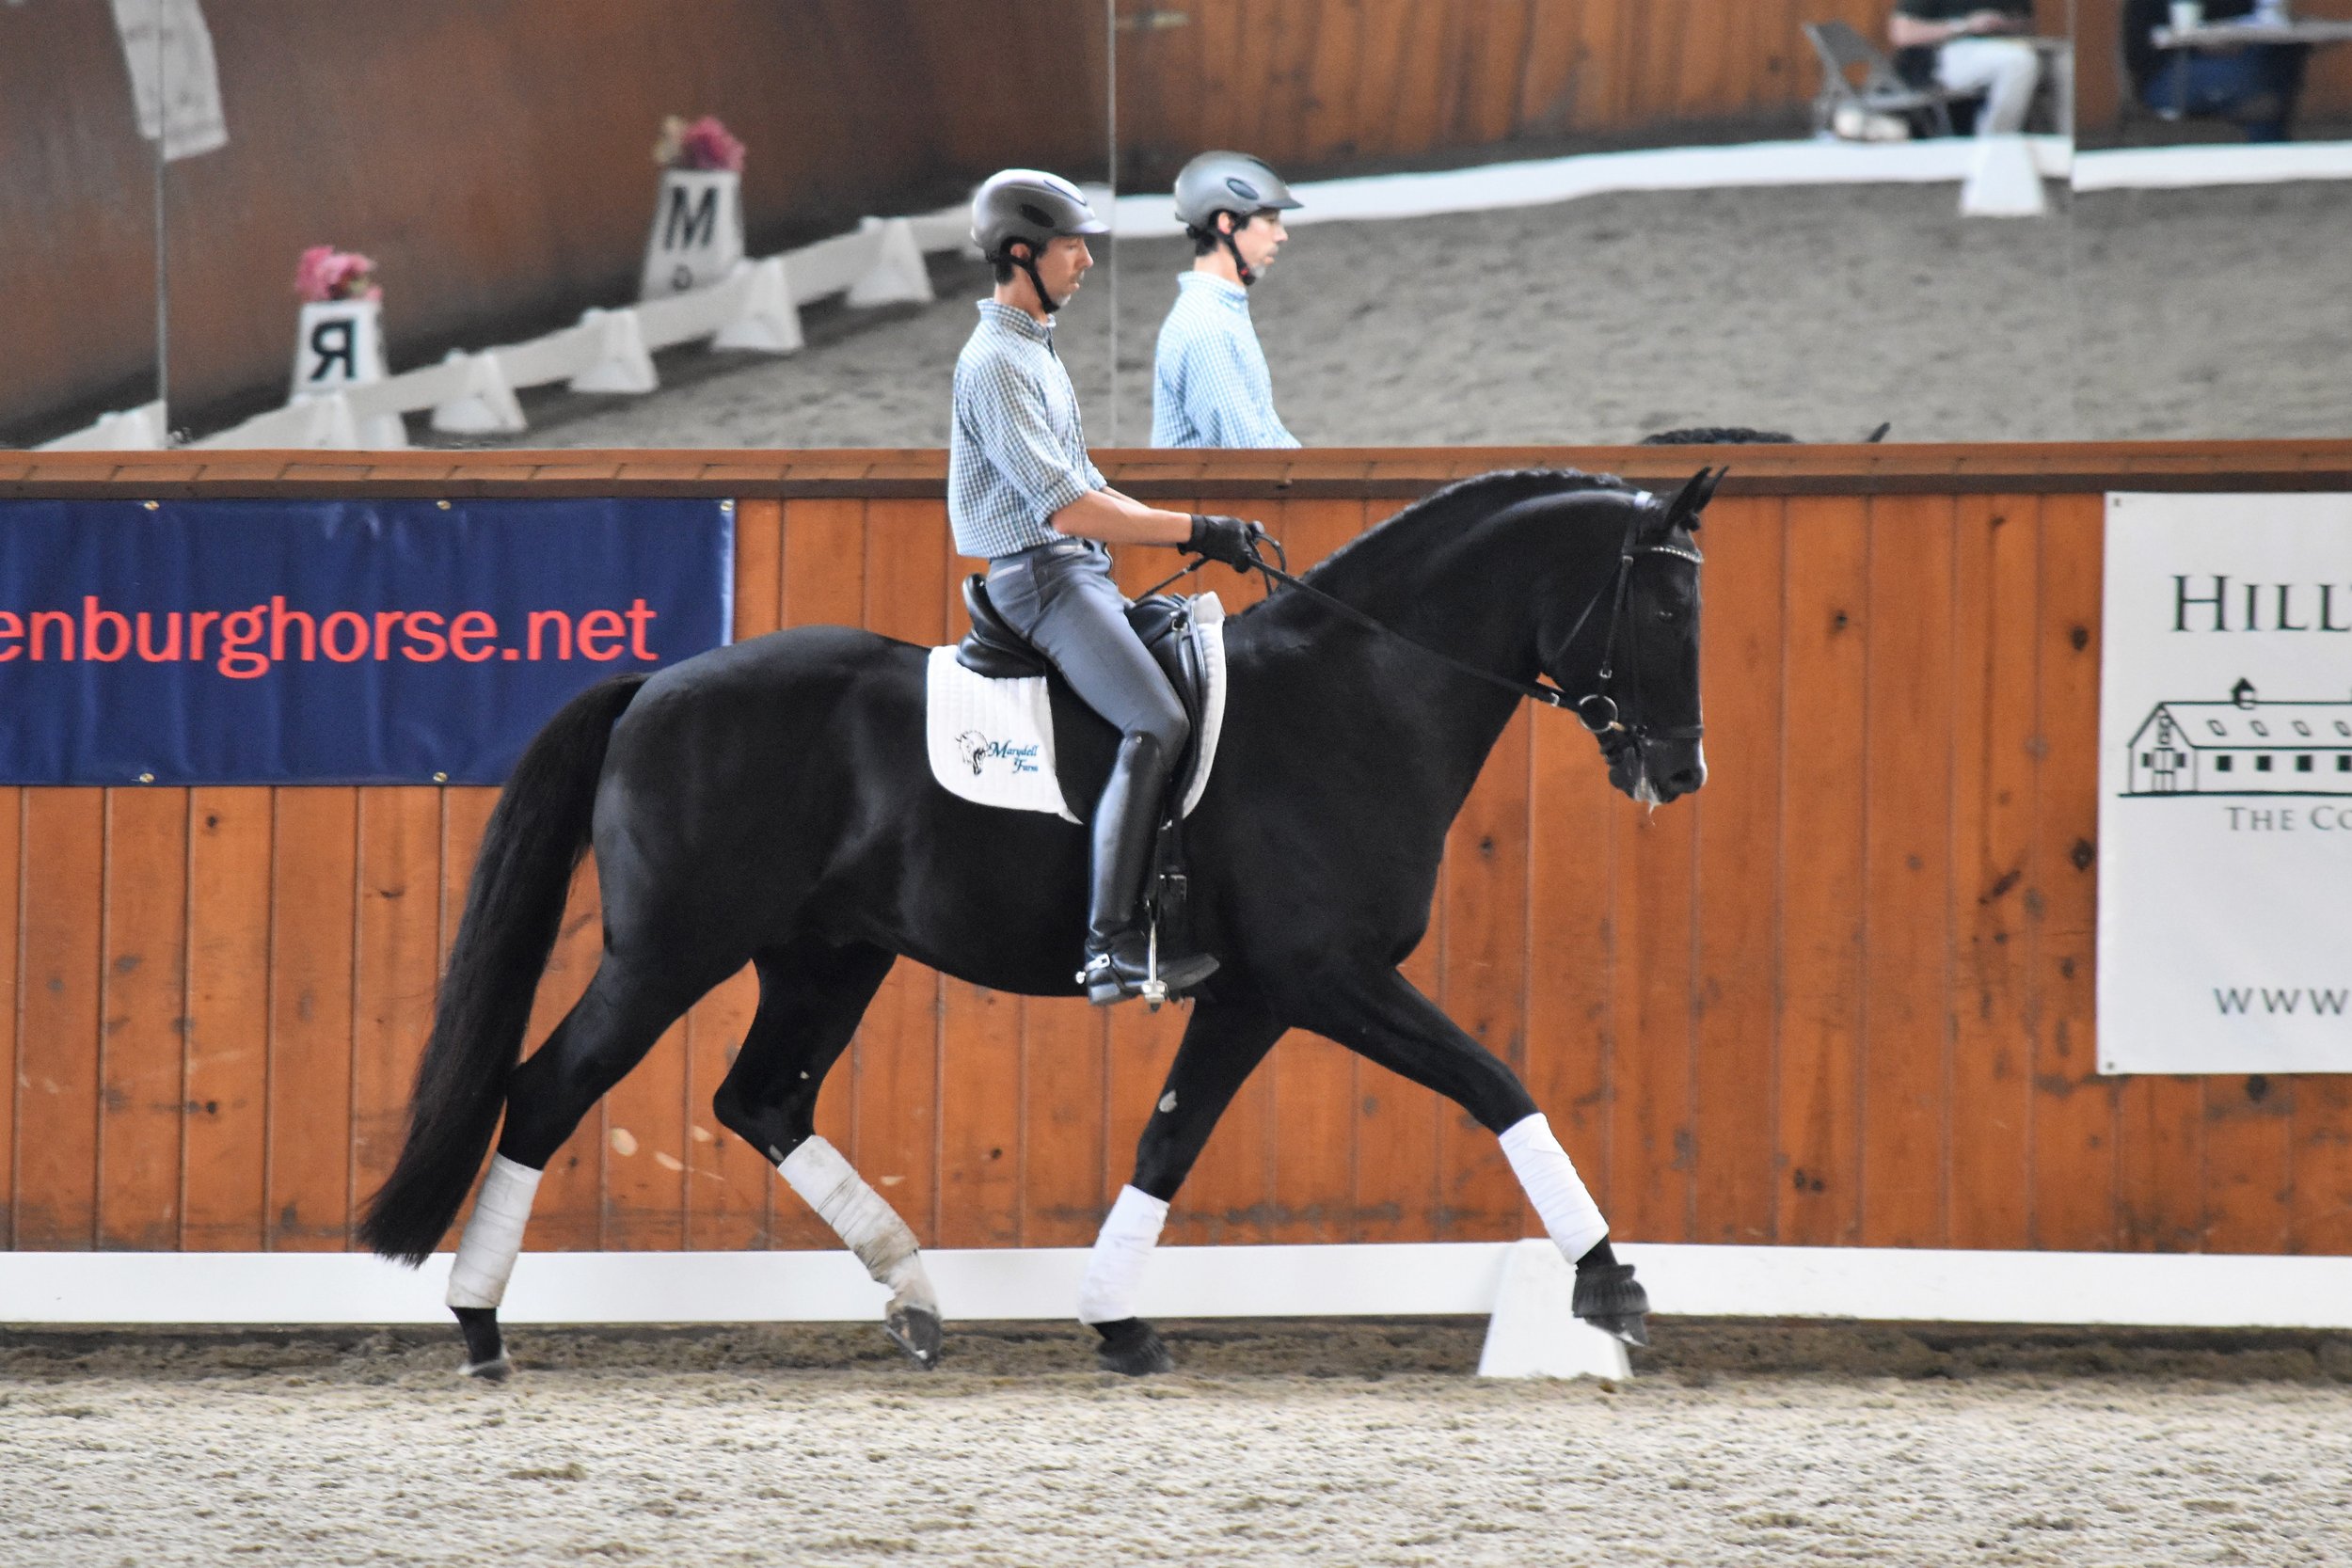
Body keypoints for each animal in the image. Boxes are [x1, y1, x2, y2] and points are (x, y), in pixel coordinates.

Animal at [357, 464, 1717, 1378]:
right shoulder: (1324, 976)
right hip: (669, 952)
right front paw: (1610, 1282)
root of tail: (654, 686)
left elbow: (1168, 1137)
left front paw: (1116, 1316)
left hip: (827, 955)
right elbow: (1496, 1081)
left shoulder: (1251, 995)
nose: (1679, 771)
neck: (1358, 696)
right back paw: (479, 1321)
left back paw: (913, 1294)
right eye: (1663, 612)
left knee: (761, 1098)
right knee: (549, 1088)